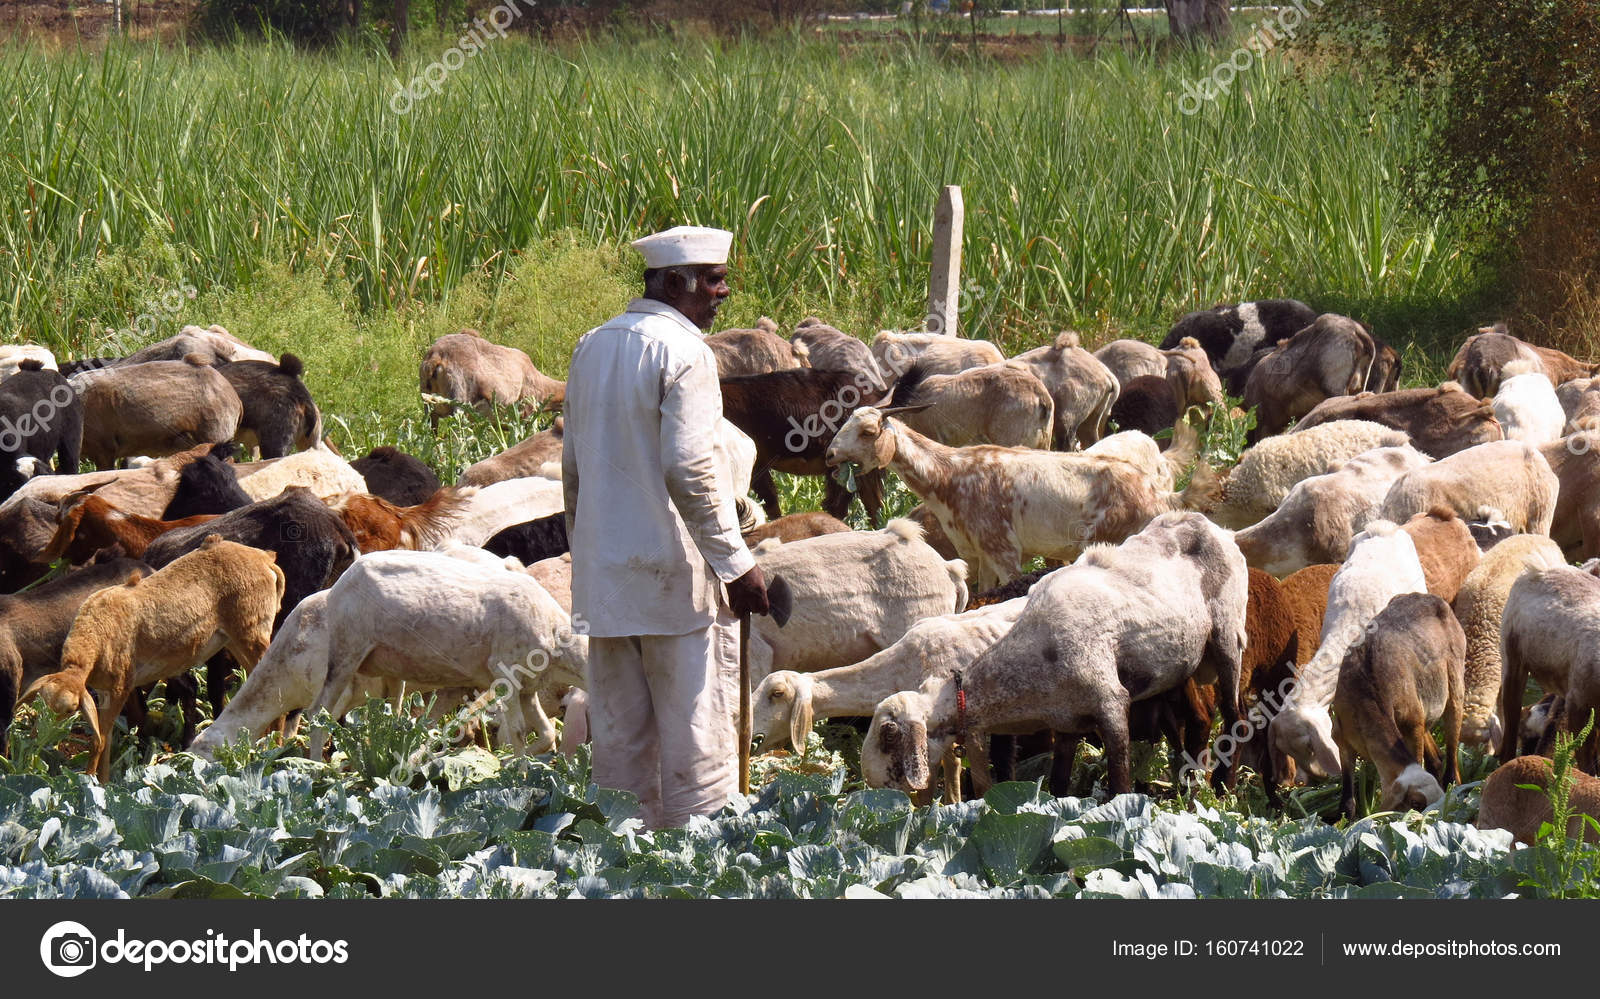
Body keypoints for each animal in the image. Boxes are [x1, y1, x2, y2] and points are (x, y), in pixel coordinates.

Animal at [22, 536, 283, 779]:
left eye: (70, 710)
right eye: (42, 704)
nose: (44, 737)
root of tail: (265, 558)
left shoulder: (120, 688)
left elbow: (99, 741)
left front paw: (90, 781)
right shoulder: (105, 692)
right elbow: (107, 741)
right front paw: (103, 781)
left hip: (252, 632)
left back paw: (275, 750)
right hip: (234, 639)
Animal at [823, 406, 1221, 592]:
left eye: (868, 431)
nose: (829, 454)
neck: (951, 473)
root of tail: (1162, 495)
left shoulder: (1004, 550)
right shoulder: (979, 554)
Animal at [861, 512, 1247, 797]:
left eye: (888, 736)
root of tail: (1215, 526)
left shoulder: (1111, 704)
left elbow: (1120, 786)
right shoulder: (1067, 724)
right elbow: (1059, 787)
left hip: (1227, 634)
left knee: (1235, 715)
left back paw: (1224, 788)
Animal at [1331, 591, 1465, 818]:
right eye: (1416, 803)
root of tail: (1428, 597)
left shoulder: (1412, 727)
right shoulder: (1342, 739)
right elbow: (1347, 802)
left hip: (1455, 683)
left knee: (1452, 757)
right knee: (1436, 759)